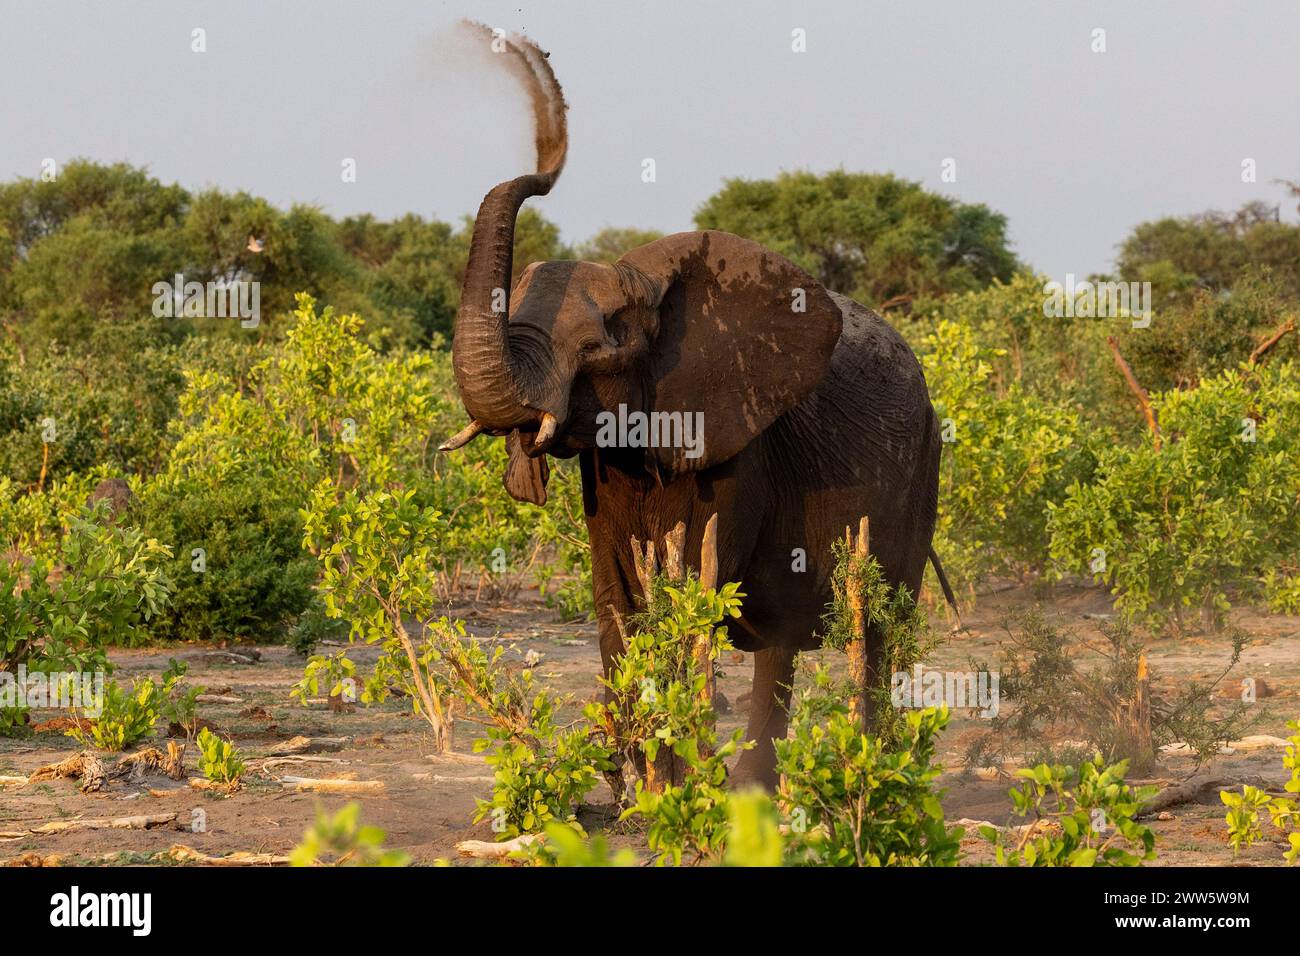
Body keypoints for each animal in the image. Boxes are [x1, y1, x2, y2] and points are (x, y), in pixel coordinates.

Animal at [441, 29, 955, 788]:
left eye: (599, 347)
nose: (535, 61)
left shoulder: (738, 443)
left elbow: (692, 587)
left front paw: (670, 786)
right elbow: (617, 598)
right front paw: (638, 792)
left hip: (923, 464)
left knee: (874, 628)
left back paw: (863, 772)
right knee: (782, 643)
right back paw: (757, 789)